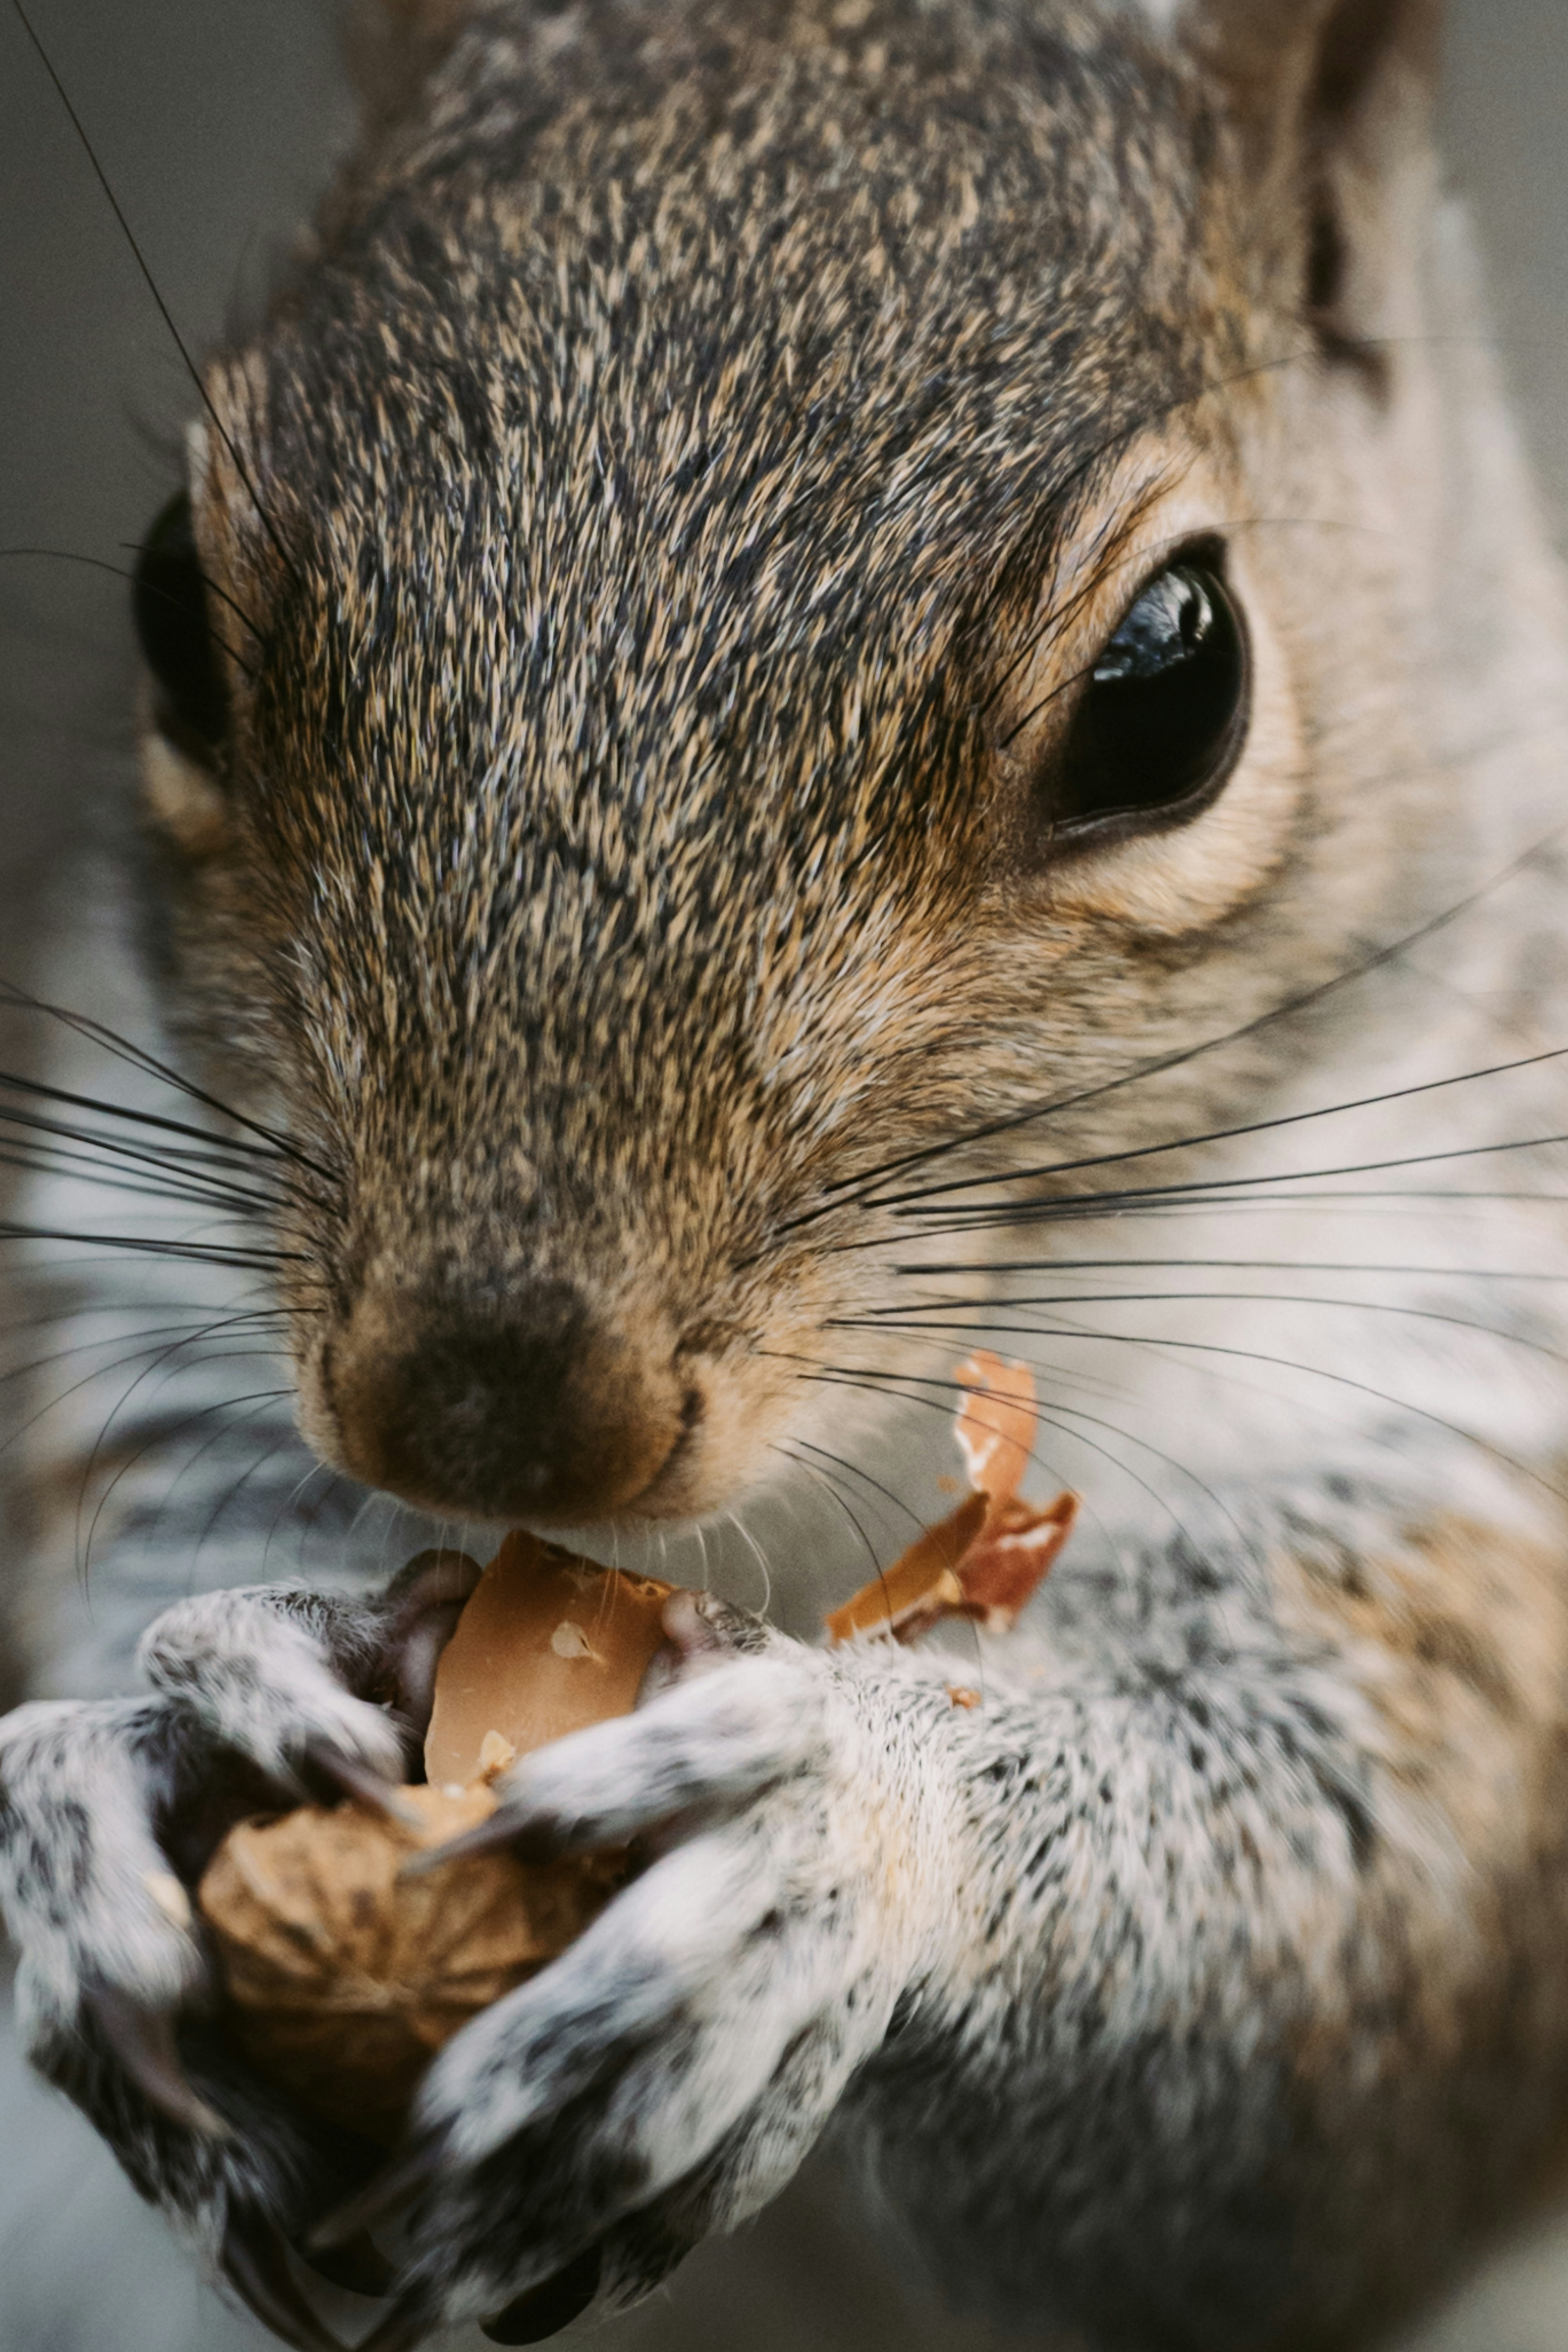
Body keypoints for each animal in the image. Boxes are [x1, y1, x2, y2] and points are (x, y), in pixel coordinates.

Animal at [7, 0, 1568, 2346]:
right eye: (173, 608)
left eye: (1175, 679)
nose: (481, 1410)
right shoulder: (109, 1293)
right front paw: (146, 1730)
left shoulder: (1483, 1404)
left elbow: (1331, 1994)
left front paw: (840, 1829)